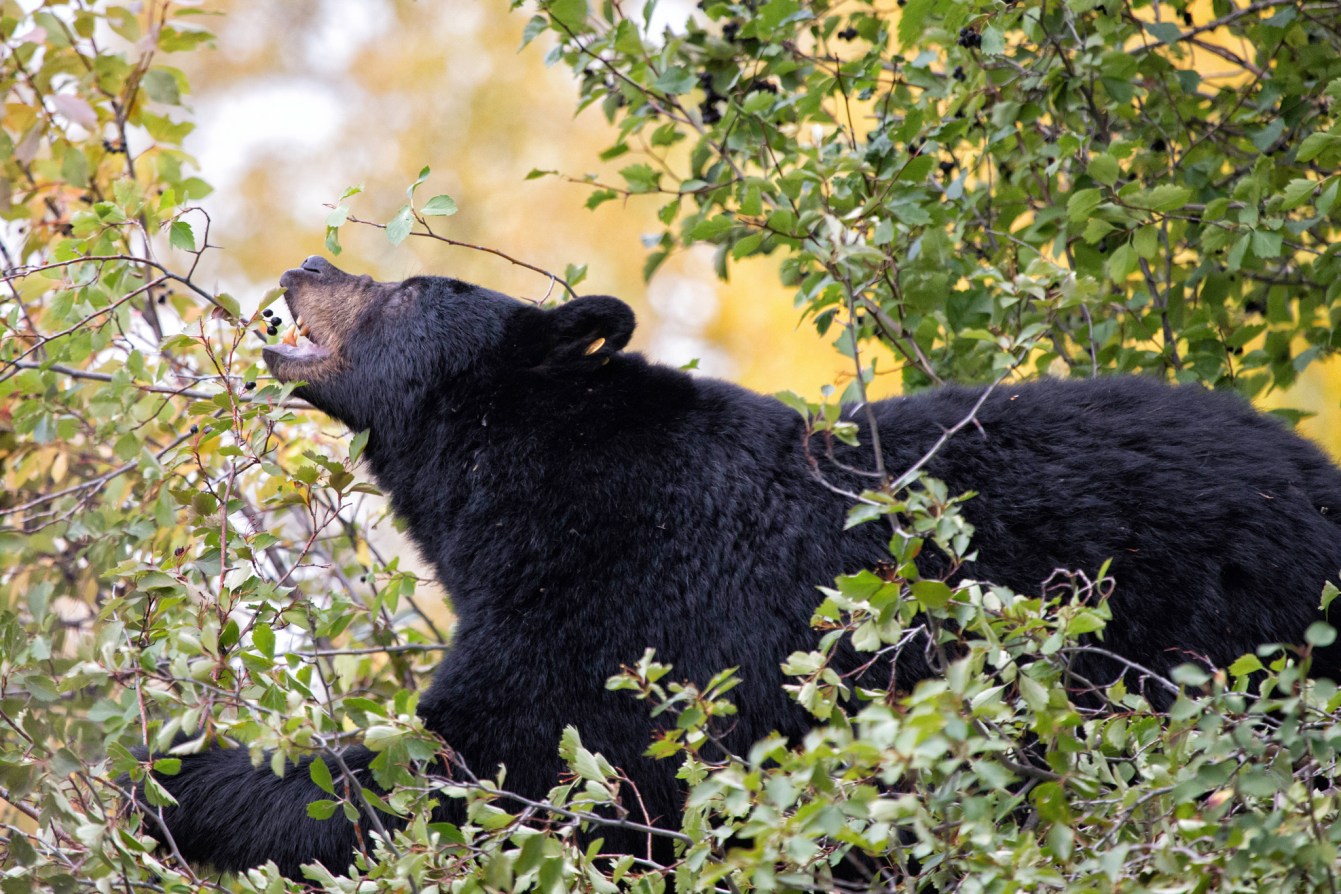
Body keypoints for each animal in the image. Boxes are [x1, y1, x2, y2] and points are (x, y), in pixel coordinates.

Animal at [130, 255, 1341, 879]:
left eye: (417, 288)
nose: (307, 263)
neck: (523, 484)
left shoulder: (632, 598)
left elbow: (496, 762)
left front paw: (176, 779)